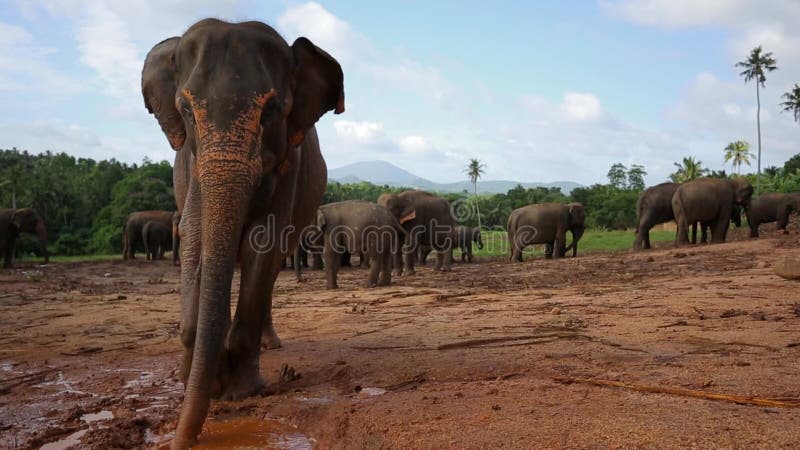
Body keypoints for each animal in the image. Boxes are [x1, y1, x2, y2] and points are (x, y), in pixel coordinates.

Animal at [142, 19, 344, 448]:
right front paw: (199, 378)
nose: (179, 441)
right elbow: (194, 234)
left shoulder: (289, 163)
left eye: (271, 110)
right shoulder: (190, 165)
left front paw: (239, 391)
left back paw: (270, 346)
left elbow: (263, 242)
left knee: (270, 269)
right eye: (186, 110)